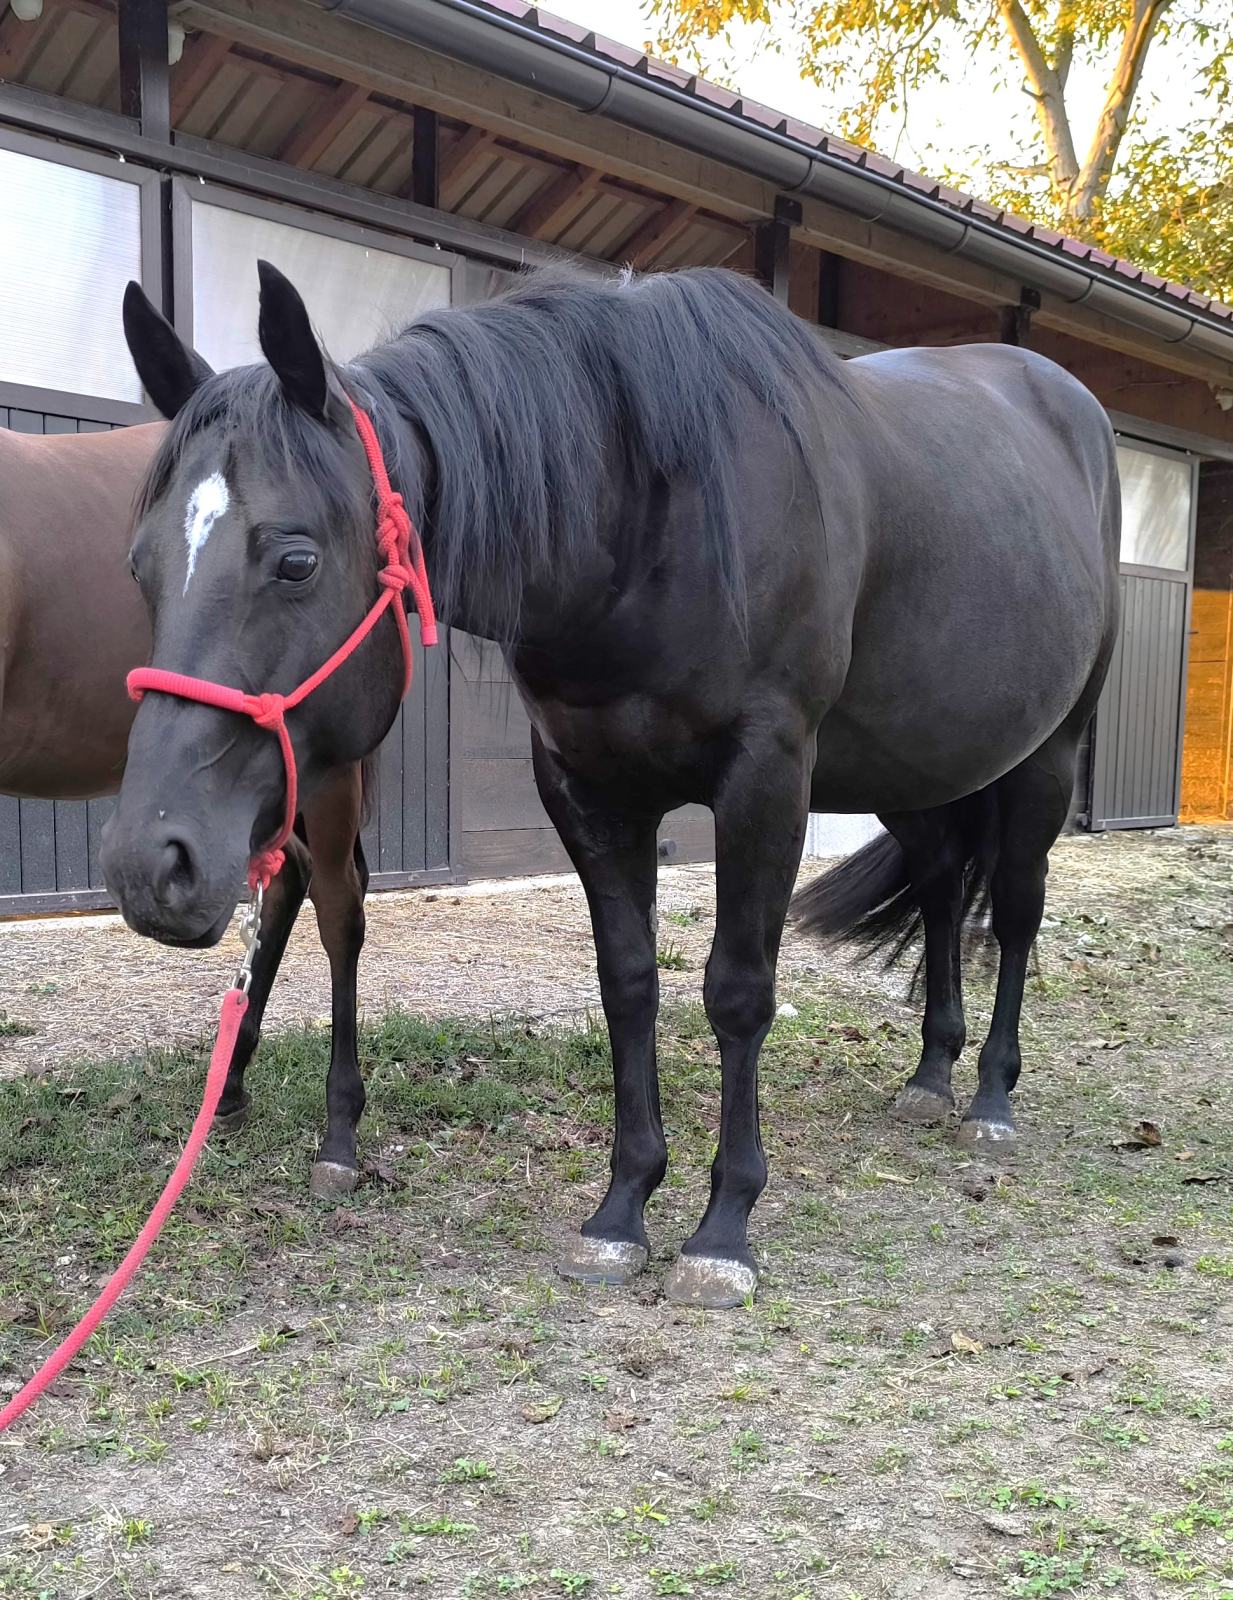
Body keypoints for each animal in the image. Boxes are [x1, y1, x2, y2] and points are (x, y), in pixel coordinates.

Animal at [0, 423, 371, 1200]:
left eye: (296, 563)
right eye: (136, 572)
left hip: (322, 773)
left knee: (337, 908)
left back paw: (338, 1134)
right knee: (285, 883)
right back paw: (227, 1086)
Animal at [103, 261, 1121, 1307]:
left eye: (297, 560)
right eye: (141, 567)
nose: (154, 864)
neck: (647, 520)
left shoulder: (765, 779)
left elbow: (736, 991)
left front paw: (722, 1230)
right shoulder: (587, 791)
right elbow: (627, 985)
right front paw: (623, 1208)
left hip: (1046, 757)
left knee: (1015, 912)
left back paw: (990, 1096)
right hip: (912, 771)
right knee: (941, 886)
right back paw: (929, 1076)